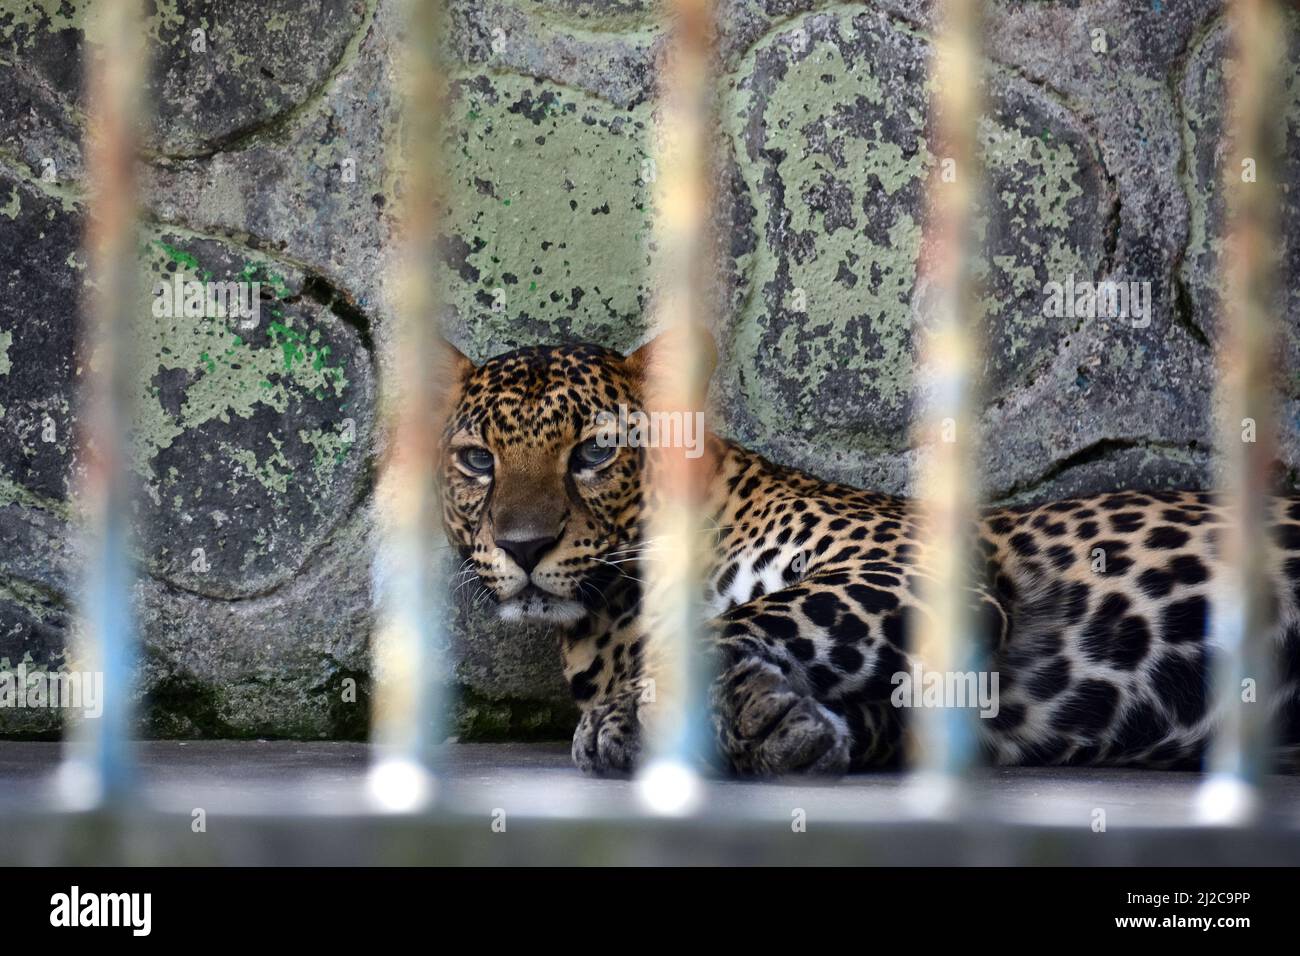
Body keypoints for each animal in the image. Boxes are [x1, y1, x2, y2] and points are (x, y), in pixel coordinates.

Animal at [437, 331, 1300, 776]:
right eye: (478, 461)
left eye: (593, 452)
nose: (523, 545)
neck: (608, 613)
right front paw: (781, 723)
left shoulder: (904, 564)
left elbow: (732, 622)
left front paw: (625, 720)